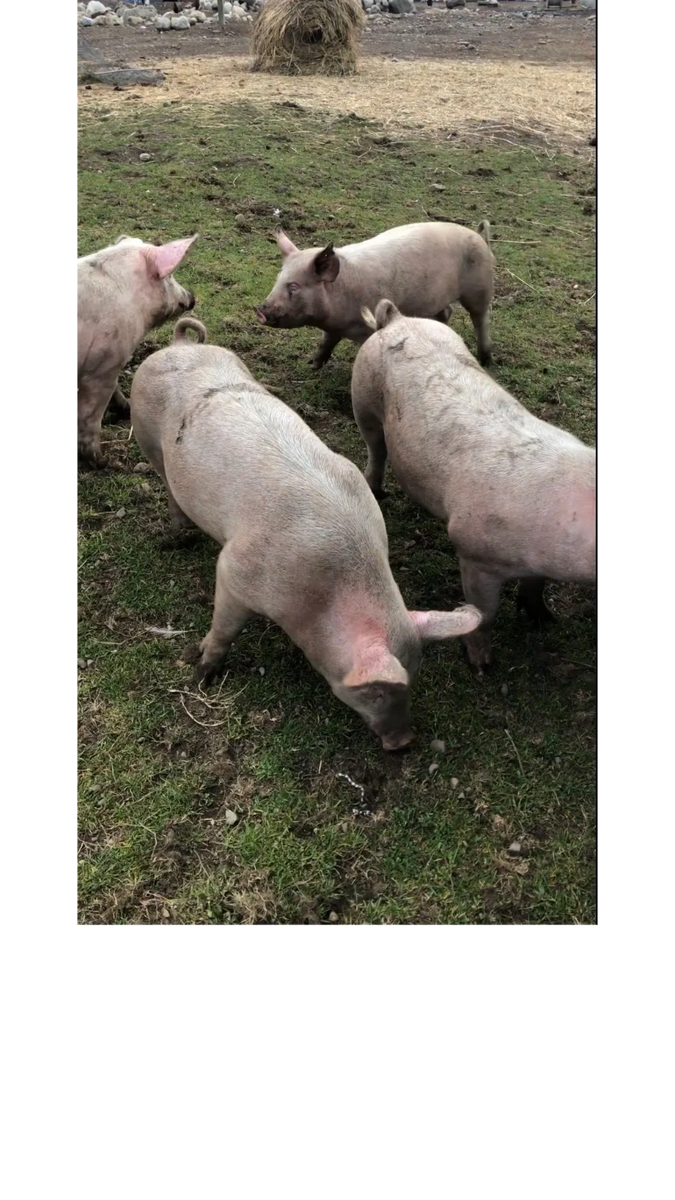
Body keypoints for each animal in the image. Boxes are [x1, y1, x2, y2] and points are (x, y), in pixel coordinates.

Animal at [75, 234, 197, 467]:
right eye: (169, 276)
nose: (192, 297)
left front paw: (126, 406)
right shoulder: (102, 368)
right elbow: (90, 418)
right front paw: (103, 462)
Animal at [130, 317, 482, 749]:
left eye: (413, 680)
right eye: (374, 692)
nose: (403, 741)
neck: (324, 595)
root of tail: (179, 345)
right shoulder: (235, 572)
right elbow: (225, 626)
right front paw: (203, 672)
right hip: (145, 433)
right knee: (167, 484)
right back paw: (178, 535)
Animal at [256, 220, 494, 370]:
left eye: (294, 287)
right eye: (278, 279)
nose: (260, 310)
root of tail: (479, 235)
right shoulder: (333, 328)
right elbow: (326, 342)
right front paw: (312, 366)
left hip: (480, 289)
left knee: (480, 319)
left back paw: (486, 360)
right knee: (447, 312)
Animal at [351, 300, 596, 674]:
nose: (482, 668)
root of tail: (395, 319)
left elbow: (535, 585)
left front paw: (545, 619)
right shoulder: (474, 553)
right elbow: (485, 614)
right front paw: (482, 666)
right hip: (362, 397)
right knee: (375, 451)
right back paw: (377, 492)